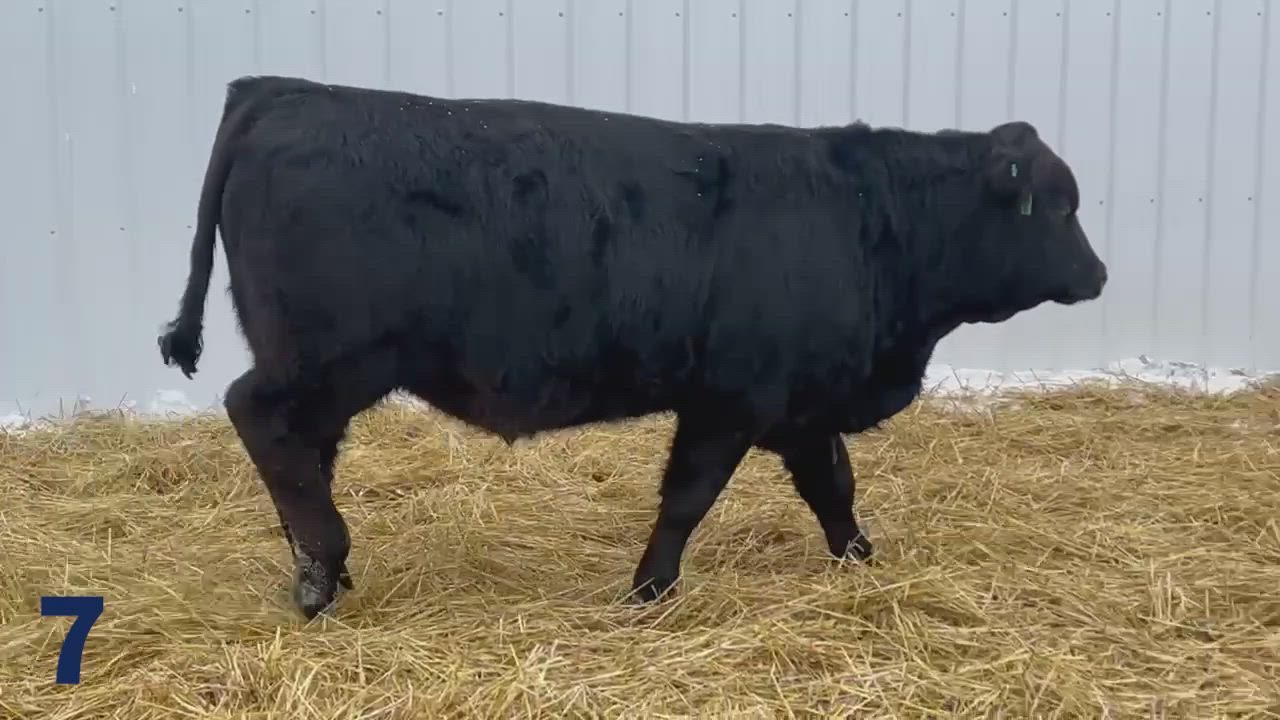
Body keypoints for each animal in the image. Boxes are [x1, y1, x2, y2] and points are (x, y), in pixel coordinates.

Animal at [157, 75, 1107, 620]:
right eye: (1059, 206)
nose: (1098, 275)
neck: (869, 220)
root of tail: (284, 92)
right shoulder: (730, 400)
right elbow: (687, 499)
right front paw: (648, 591)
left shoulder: (799, 405)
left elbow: (833, 489)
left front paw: (864, 564)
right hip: (326, 361)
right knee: (261, 420)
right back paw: (323, 568)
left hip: (328, 372)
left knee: (301, 452)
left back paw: (320, 568)